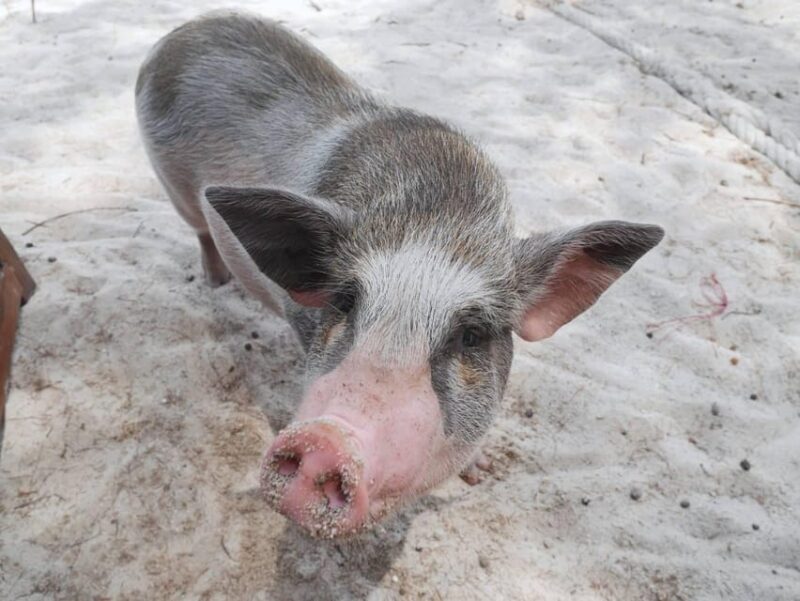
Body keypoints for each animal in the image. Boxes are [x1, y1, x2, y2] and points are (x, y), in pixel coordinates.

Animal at [135, 12, 664, 538]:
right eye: (345, 303)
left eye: (472, 335)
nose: (325, 439)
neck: (434, 217)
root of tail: (182, 32)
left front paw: (482, 471)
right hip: (176, 190)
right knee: (202, 232)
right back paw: (216, 283)